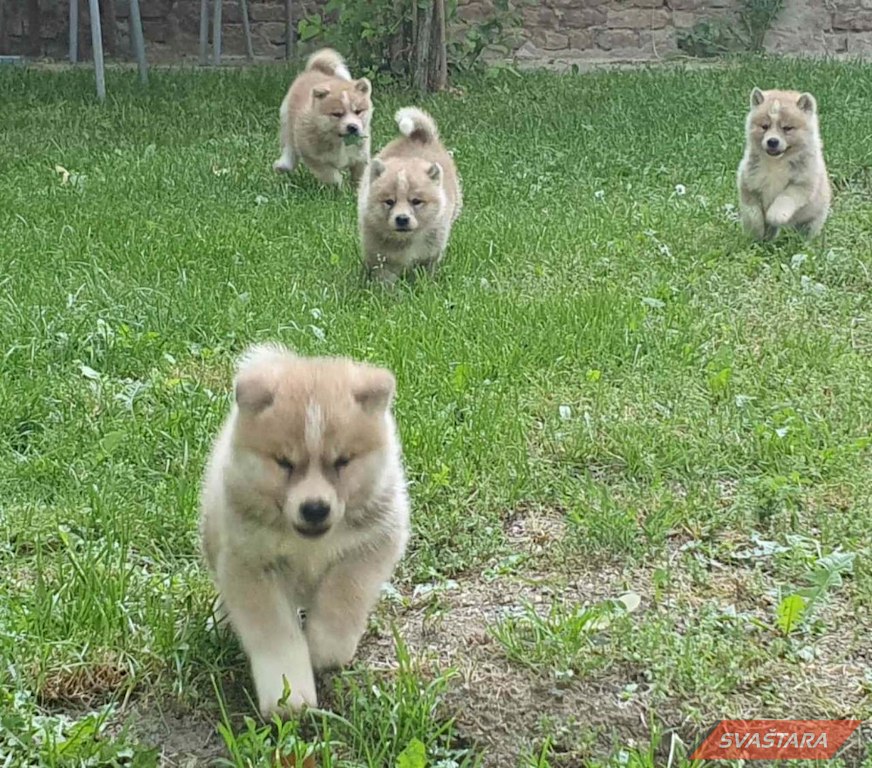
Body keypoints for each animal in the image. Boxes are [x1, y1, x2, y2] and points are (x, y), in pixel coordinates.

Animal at [199, 344, 410, 716]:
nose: (314, 508)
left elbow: (345, 594)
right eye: (284, 463)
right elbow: (274, 633)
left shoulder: (373, 542)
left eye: (342, 461)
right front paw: (288, 694)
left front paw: (324, 647)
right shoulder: (249, 564)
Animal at [270, 48, 370, 188]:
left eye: (358, 111)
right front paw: (339, 188)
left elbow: (359, 177)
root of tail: (315, 69)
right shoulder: (314, 158)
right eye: (337, 114)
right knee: (289, 148)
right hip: (287, 122)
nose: (352, 127)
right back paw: (283, 165)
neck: (339, 141)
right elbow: (331, 176)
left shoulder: (361, 158)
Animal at [356, 103, 460, 280]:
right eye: (389, 201)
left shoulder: (430, 254)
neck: (405, 240)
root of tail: (419, 136)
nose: (402, 219)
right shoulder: (381, 256)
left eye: (416, 201)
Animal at [736, 86, 832, 240]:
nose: (772, 141)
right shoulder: (748, 183)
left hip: (813, 219)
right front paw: (755, 231)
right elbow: (753, 212)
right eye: (764, 126)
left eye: (787, 128)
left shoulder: (802, 184)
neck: (777, 162)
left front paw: (774, 215)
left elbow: (785, 197)